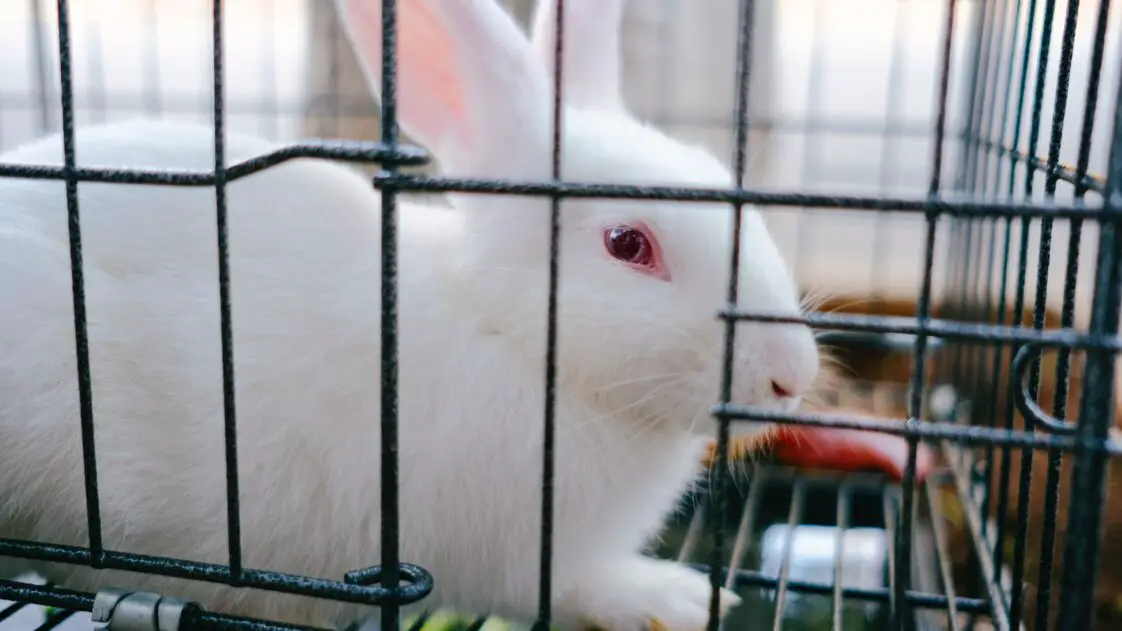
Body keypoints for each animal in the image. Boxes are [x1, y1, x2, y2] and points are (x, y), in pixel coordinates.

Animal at [0, 0, 820, 629]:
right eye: (628, 244)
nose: (790, 378)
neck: (509, 333)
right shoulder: (514, 560)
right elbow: (568, 590)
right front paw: (673, 599)